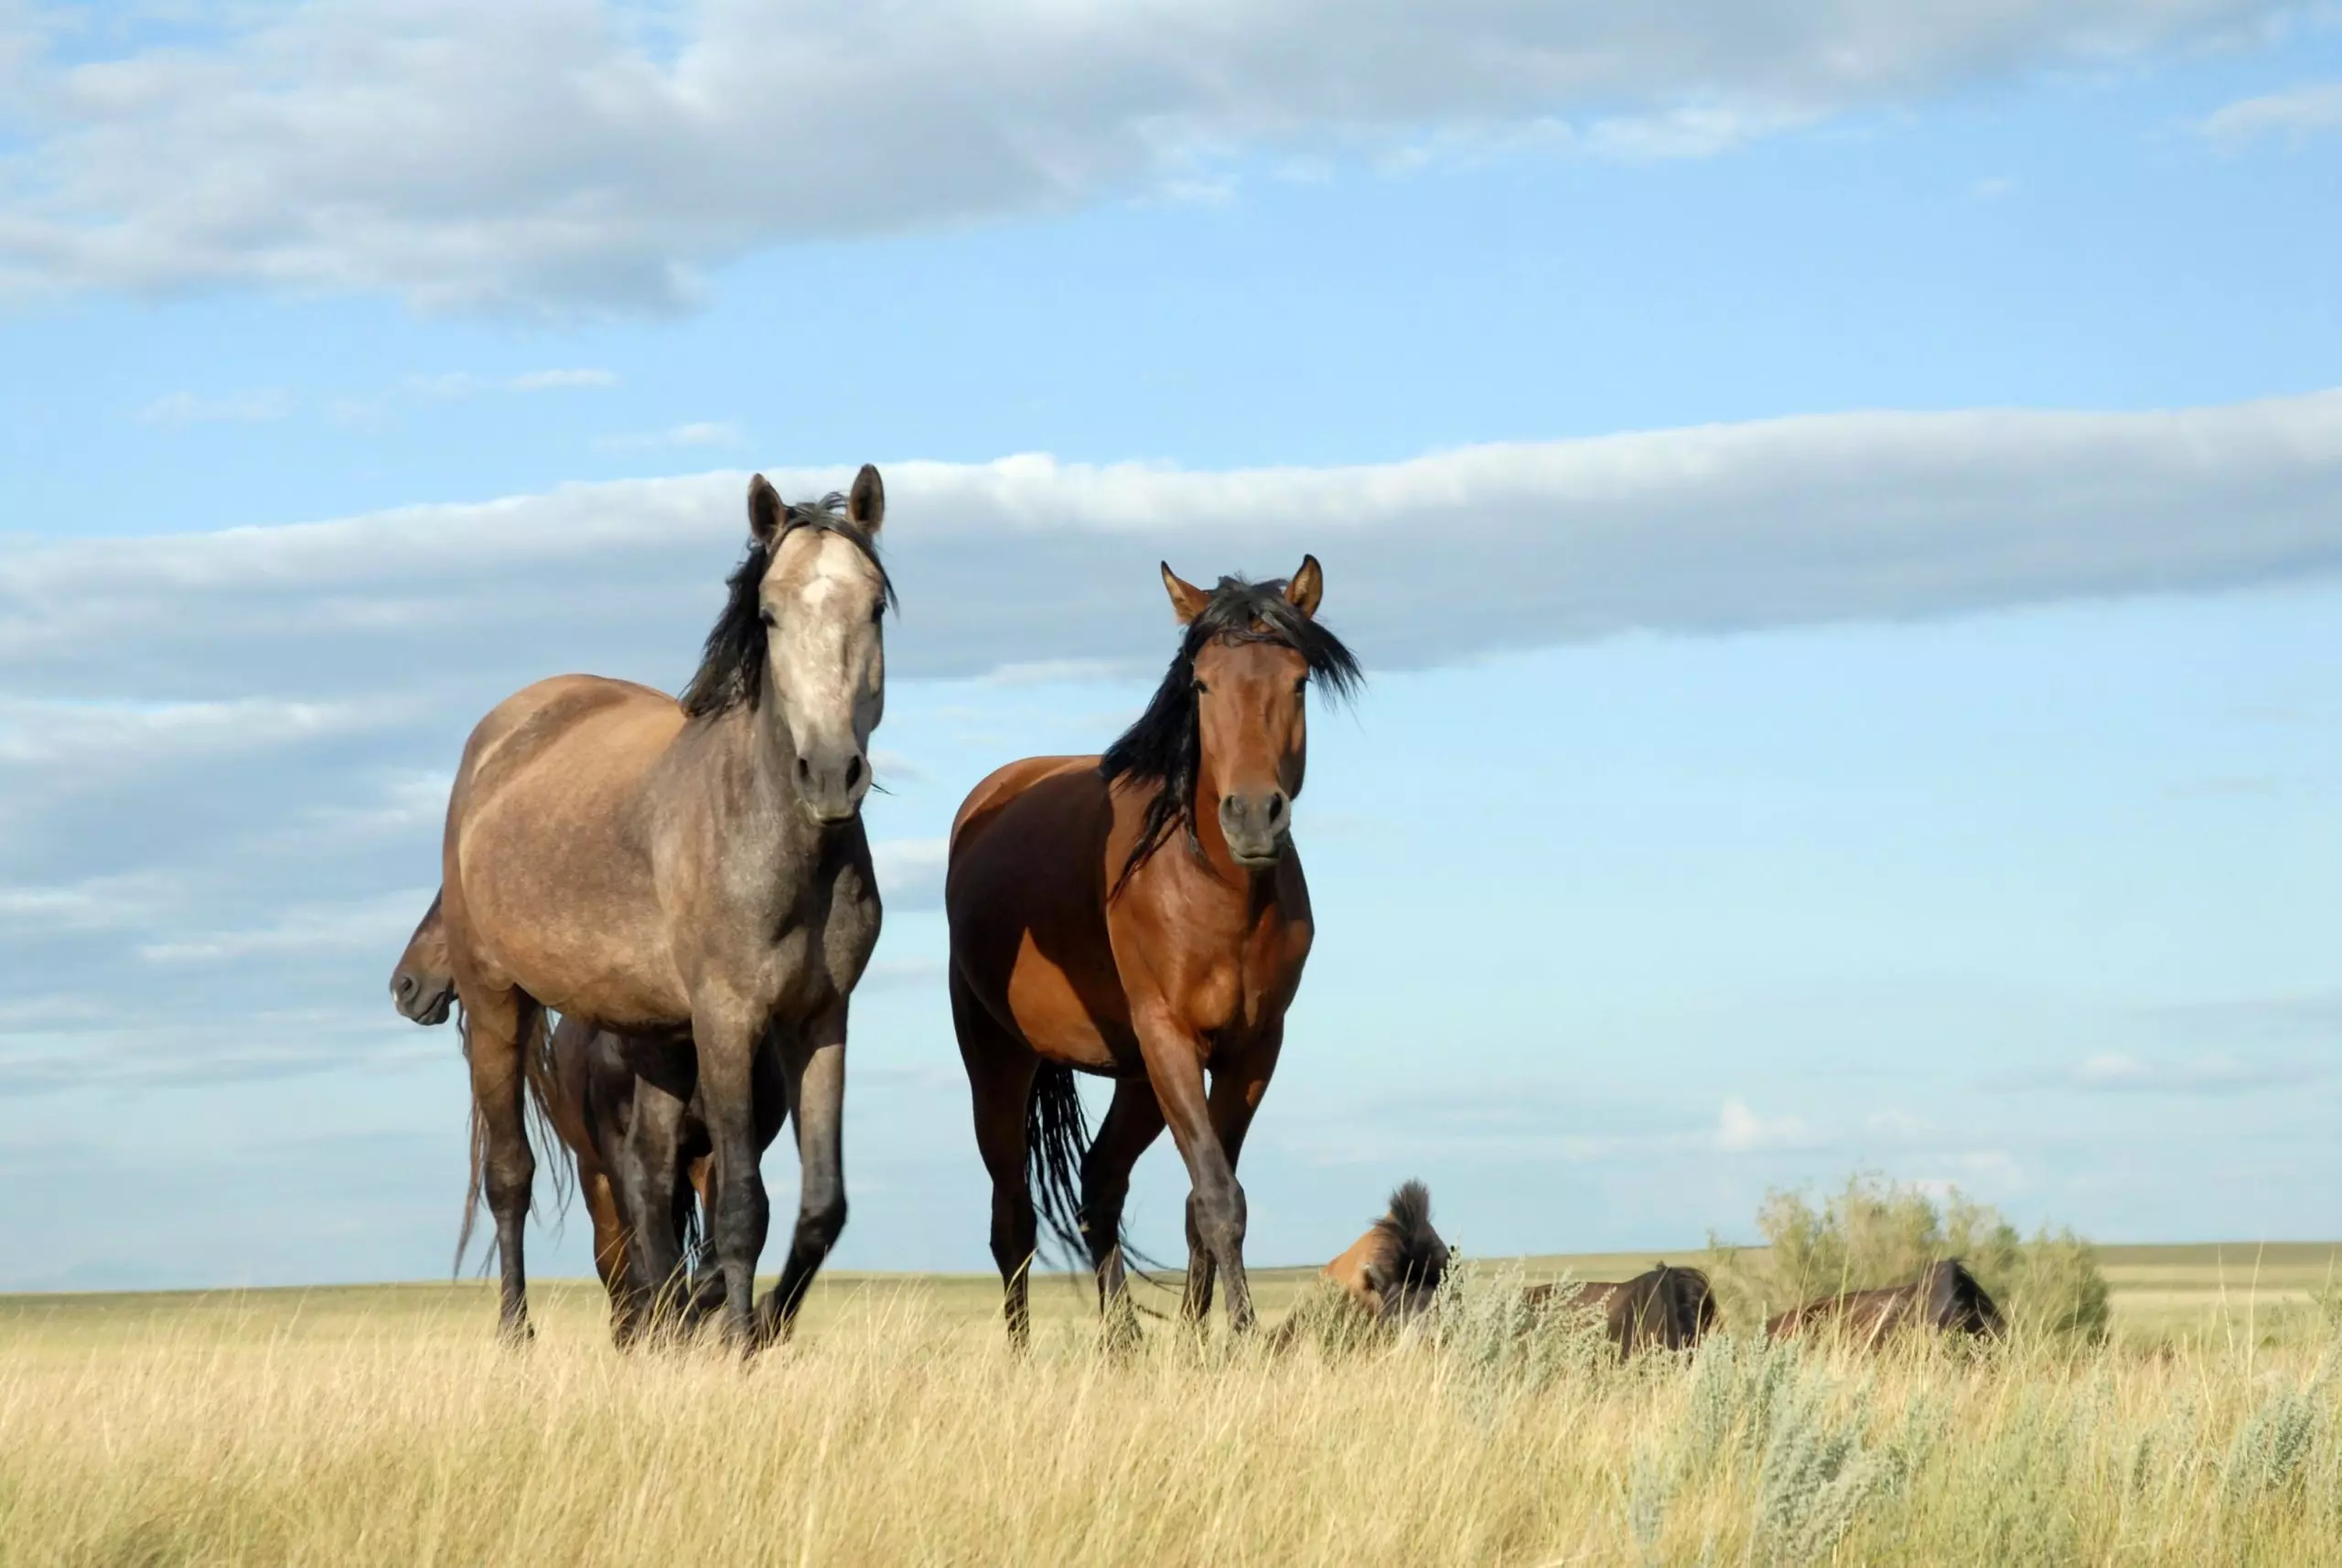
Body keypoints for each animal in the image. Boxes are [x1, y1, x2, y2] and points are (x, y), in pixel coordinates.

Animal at [431, 470, 885, 1348]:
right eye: (769, 615)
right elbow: (742, 1204)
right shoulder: (727, 1017)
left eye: (874, 606)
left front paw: (756, 1321)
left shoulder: (821, 1017)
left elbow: (821, 1206)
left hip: (652, 1037)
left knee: (649, 1188)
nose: (831, 773)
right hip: (498, 997)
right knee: (512, 1177)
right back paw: (517, 1335)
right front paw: (739, 1341)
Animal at [946, 559, 1368, 1348]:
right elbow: (1219, 1195)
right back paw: (1022, 1354)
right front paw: (1242, 1338)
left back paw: (1123, 1345)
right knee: (1012, 1217)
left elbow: (1204, 1203)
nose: (1254, 816)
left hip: (1137, 1077)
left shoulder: (1251, 1049)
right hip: (1000, 1061)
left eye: (1297, 681)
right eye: (1201, 684)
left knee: (1099, 1184)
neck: (1216, 891)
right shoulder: (1170, 1037)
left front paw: (1202, 1343)